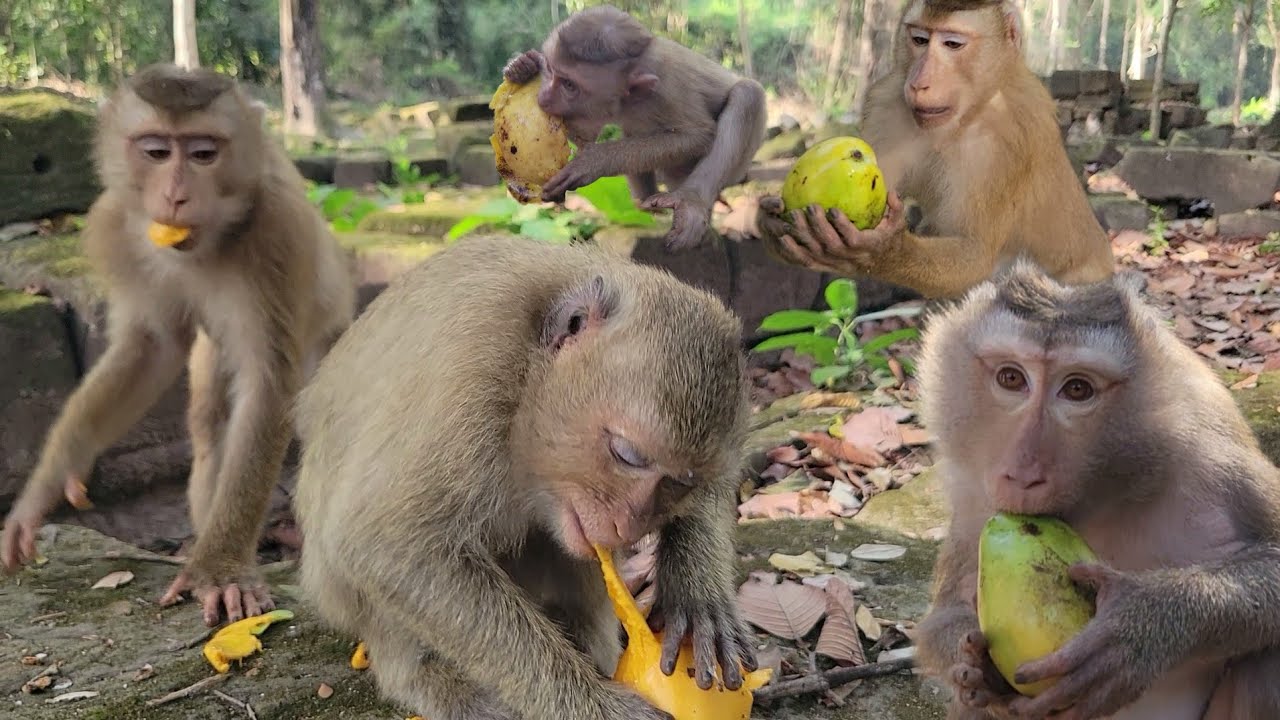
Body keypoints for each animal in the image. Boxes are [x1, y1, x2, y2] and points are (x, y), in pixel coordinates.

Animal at [0, 64, 355, 627]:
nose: (175, 195)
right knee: (210, 423)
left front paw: (223, 569)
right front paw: (47, 486)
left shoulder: (276, 235)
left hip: (334, 335)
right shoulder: (115, 226)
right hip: (212, 354)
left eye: (203, 153)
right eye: (156, 152)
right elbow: (151, 347)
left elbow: (268, 384)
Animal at [291, 234, 757, 720]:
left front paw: (696, 595)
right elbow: (387, 543)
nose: (628, 525)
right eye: (627, 455)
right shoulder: (475, 372)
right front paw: (593, 706)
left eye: (681, 483)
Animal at [502, 4, 767, 252]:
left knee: (747, 94)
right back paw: (646, 206)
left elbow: (698, 136)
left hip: (740, 165)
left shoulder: (667, 92)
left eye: (569, 85)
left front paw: (593, 161)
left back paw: (691, 201)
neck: (631, 98)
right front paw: (523, 66)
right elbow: (586, 136)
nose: (544, 97)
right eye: (551, 70)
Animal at [755, 0, 1114, 300]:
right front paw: (769, 220)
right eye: (919, 39)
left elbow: (974, 256)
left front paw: (881, 251)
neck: (970, 113)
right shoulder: (887, 103)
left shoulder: (1007, 136)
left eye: (952, 44)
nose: (918, 83)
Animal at [912, 260, 1280, 719]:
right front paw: (978, 668)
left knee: (1266, 660)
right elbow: (941, 620)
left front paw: (1137, 628)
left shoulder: (1212, 455)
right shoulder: (972, 496)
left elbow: (1272, 559)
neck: (1106, 489)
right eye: (1011, 378)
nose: (1023, 475)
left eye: (1077, 389)